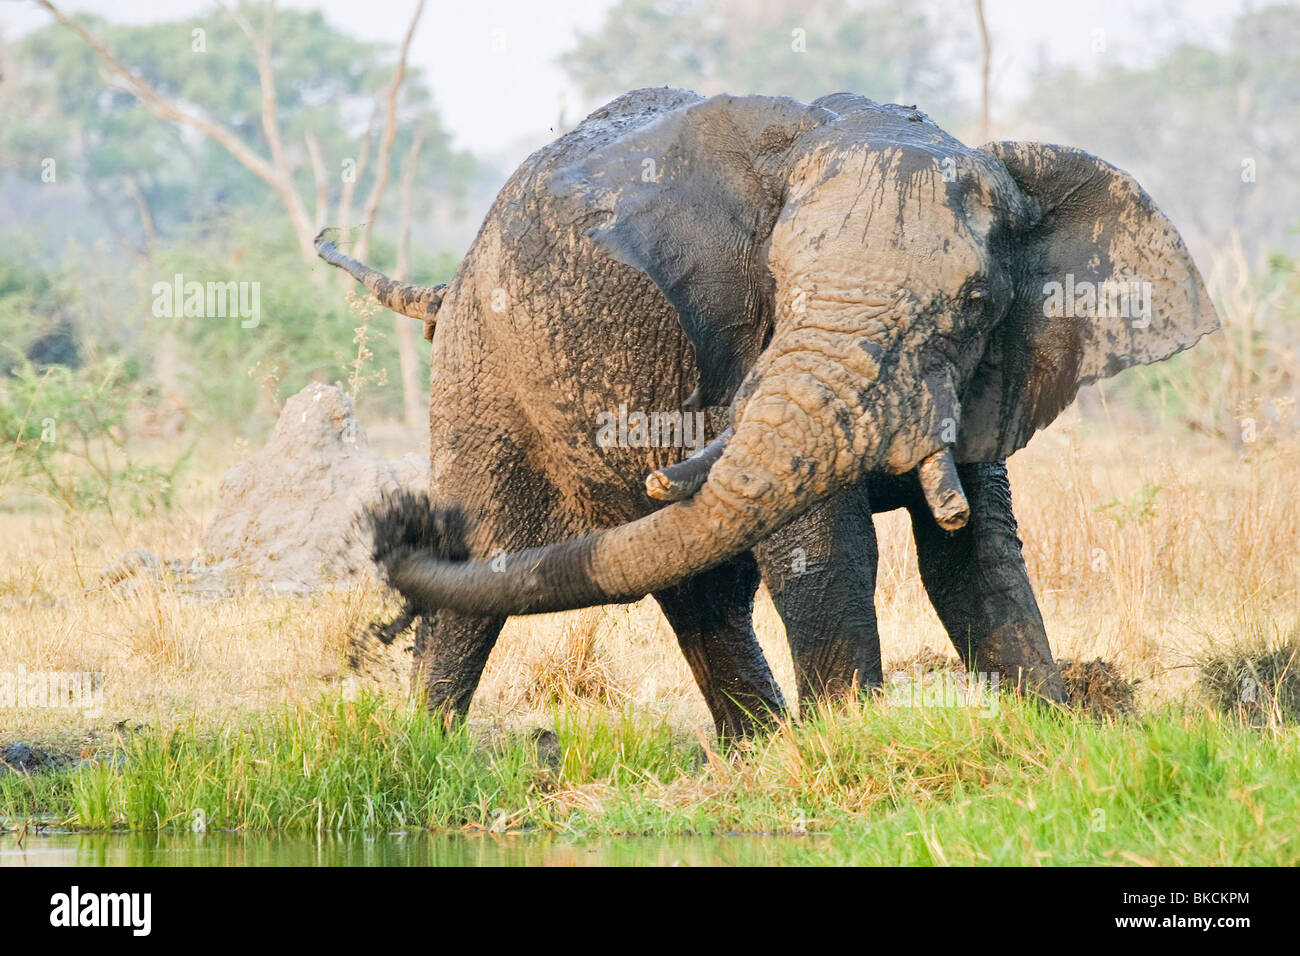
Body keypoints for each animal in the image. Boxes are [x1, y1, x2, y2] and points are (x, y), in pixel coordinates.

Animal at [317, 87, 1218, 736]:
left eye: (974, 305)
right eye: (781, 285)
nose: (390, 525)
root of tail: (449, 282)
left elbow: (973, 551)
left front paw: (1053, 733)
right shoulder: (741, 342)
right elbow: (824, 543)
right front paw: (851, 743)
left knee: (698, 589)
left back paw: (756, 750)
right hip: (483, 371)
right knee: (483, 562)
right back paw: (424, 753)